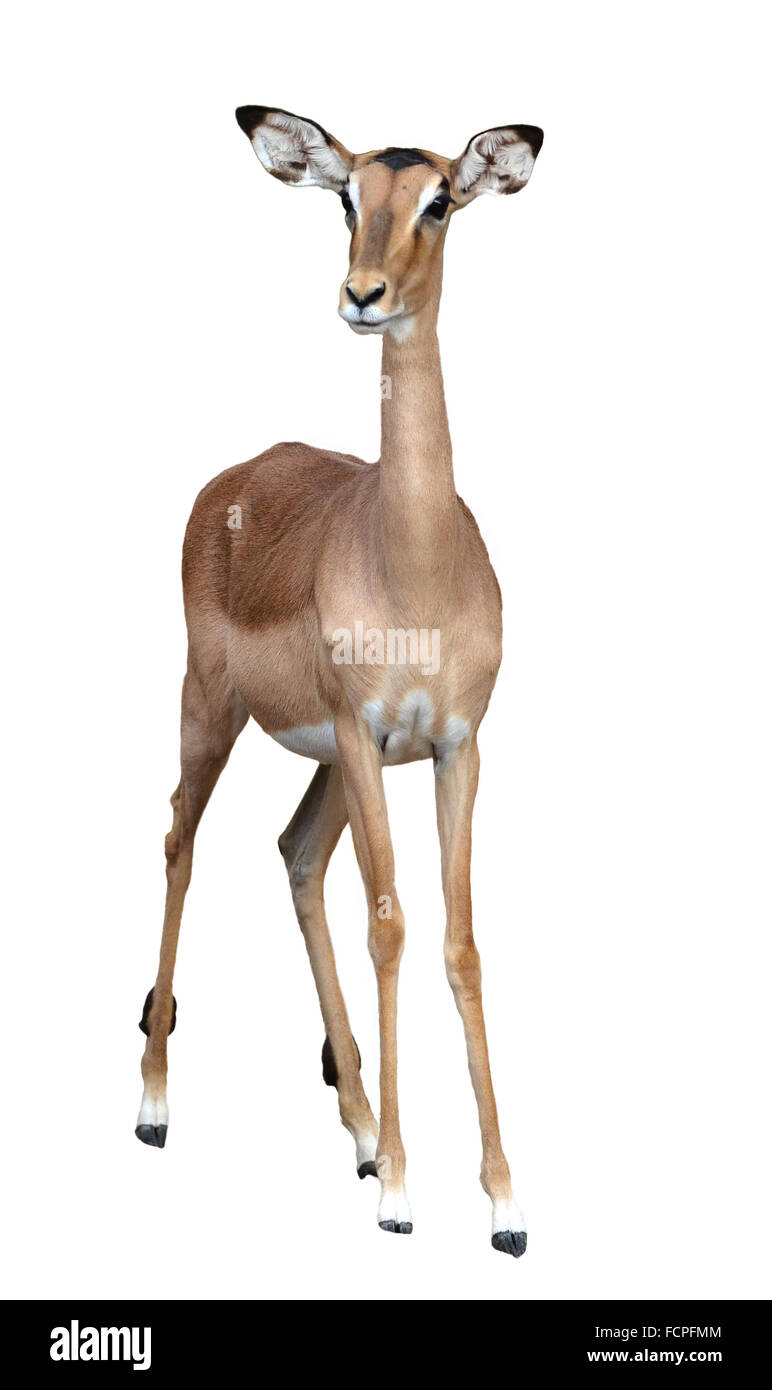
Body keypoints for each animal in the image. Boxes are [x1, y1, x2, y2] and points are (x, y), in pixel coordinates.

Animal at [136, 106, 543, 1257]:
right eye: (345, 195)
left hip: (320, 761)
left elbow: (458, 941)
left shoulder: (453, 745)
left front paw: (503, 1204)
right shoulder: (368, 736)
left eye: (441, 198)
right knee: (181, 839)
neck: (414, 562)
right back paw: (156, 1101)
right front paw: (403, 1195)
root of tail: (234, 477)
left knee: (294, 855)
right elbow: (391, 929)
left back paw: (358, 1124)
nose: (364, 295)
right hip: (212, 711)